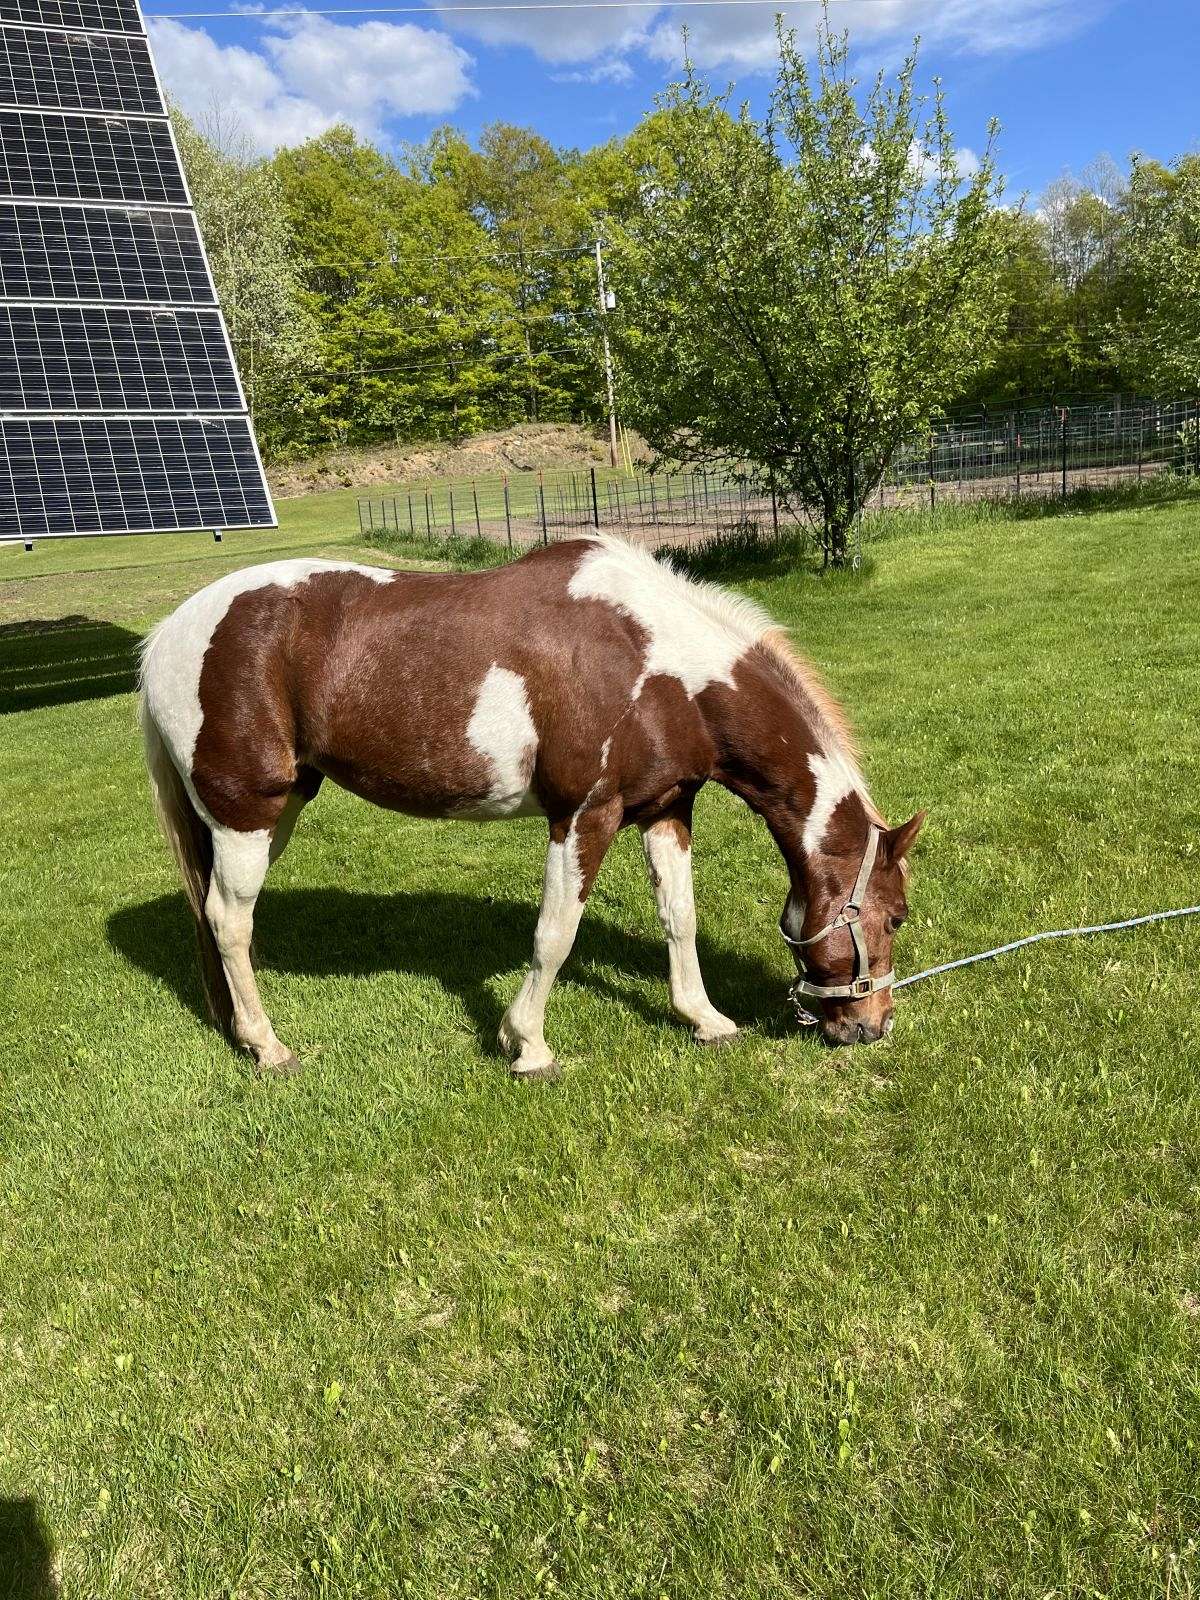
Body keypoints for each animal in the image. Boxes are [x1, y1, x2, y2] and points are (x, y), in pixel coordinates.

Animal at [138, 534, 923, 1077]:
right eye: (894, 916)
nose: (872, 1026)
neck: (657, 666)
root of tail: (168, 636)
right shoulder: (584, 816)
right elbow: (555, 934)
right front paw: (528, 1045)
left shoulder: (666, 810)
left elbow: (680, 917)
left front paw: (705, 1018)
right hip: (248, 813)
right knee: (229, 919)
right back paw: (269, 1046)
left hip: (271, 813)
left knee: (217, 915)